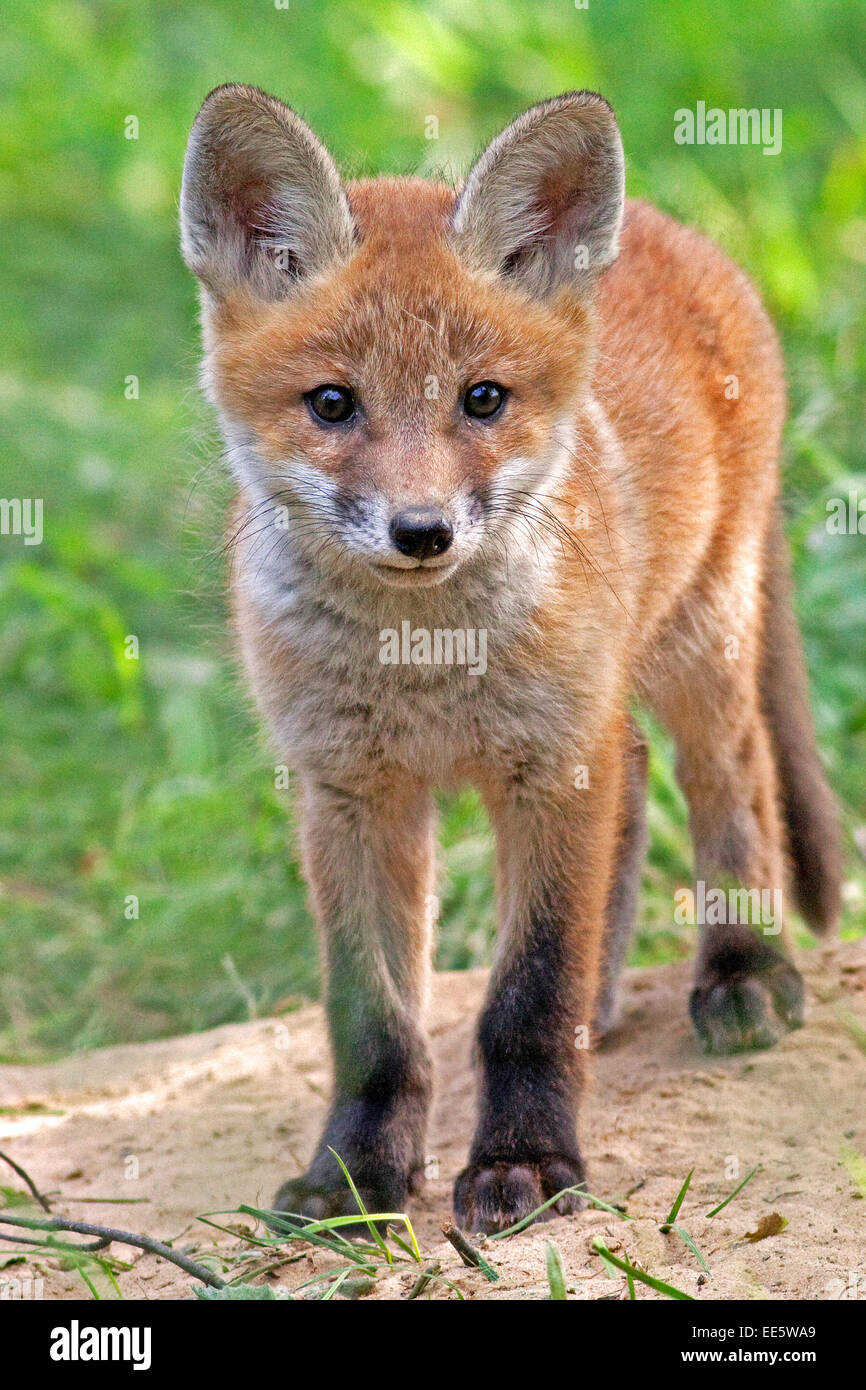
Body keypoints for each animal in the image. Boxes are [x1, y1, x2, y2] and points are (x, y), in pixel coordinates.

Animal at [180, 85, 842, 1234]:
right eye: (332, 403)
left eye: (481, 399)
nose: (421, 532)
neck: (423, 665)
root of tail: (679, 233)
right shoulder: (348, 791)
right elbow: (374, 1024)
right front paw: (352, 1177)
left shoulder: (549, 766)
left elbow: (526, 998)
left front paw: (526, 1164)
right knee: (635, 777)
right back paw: (609, 1001)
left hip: (699, 642)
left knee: (734, 780)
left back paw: (743, 968)